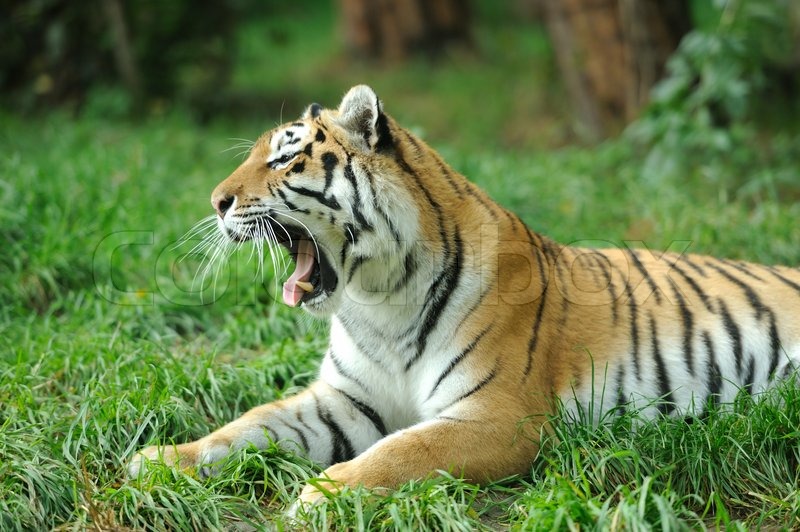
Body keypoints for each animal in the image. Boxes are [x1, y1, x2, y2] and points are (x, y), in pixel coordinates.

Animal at [128, 85, 800, 510]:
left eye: (284, 159)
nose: (216, 201)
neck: (378, 299)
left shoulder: (496, 418)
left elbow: (402, 452)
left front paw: (320, 495)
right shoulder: (346, 401)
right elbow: (250, 424)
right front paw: (160, 460)